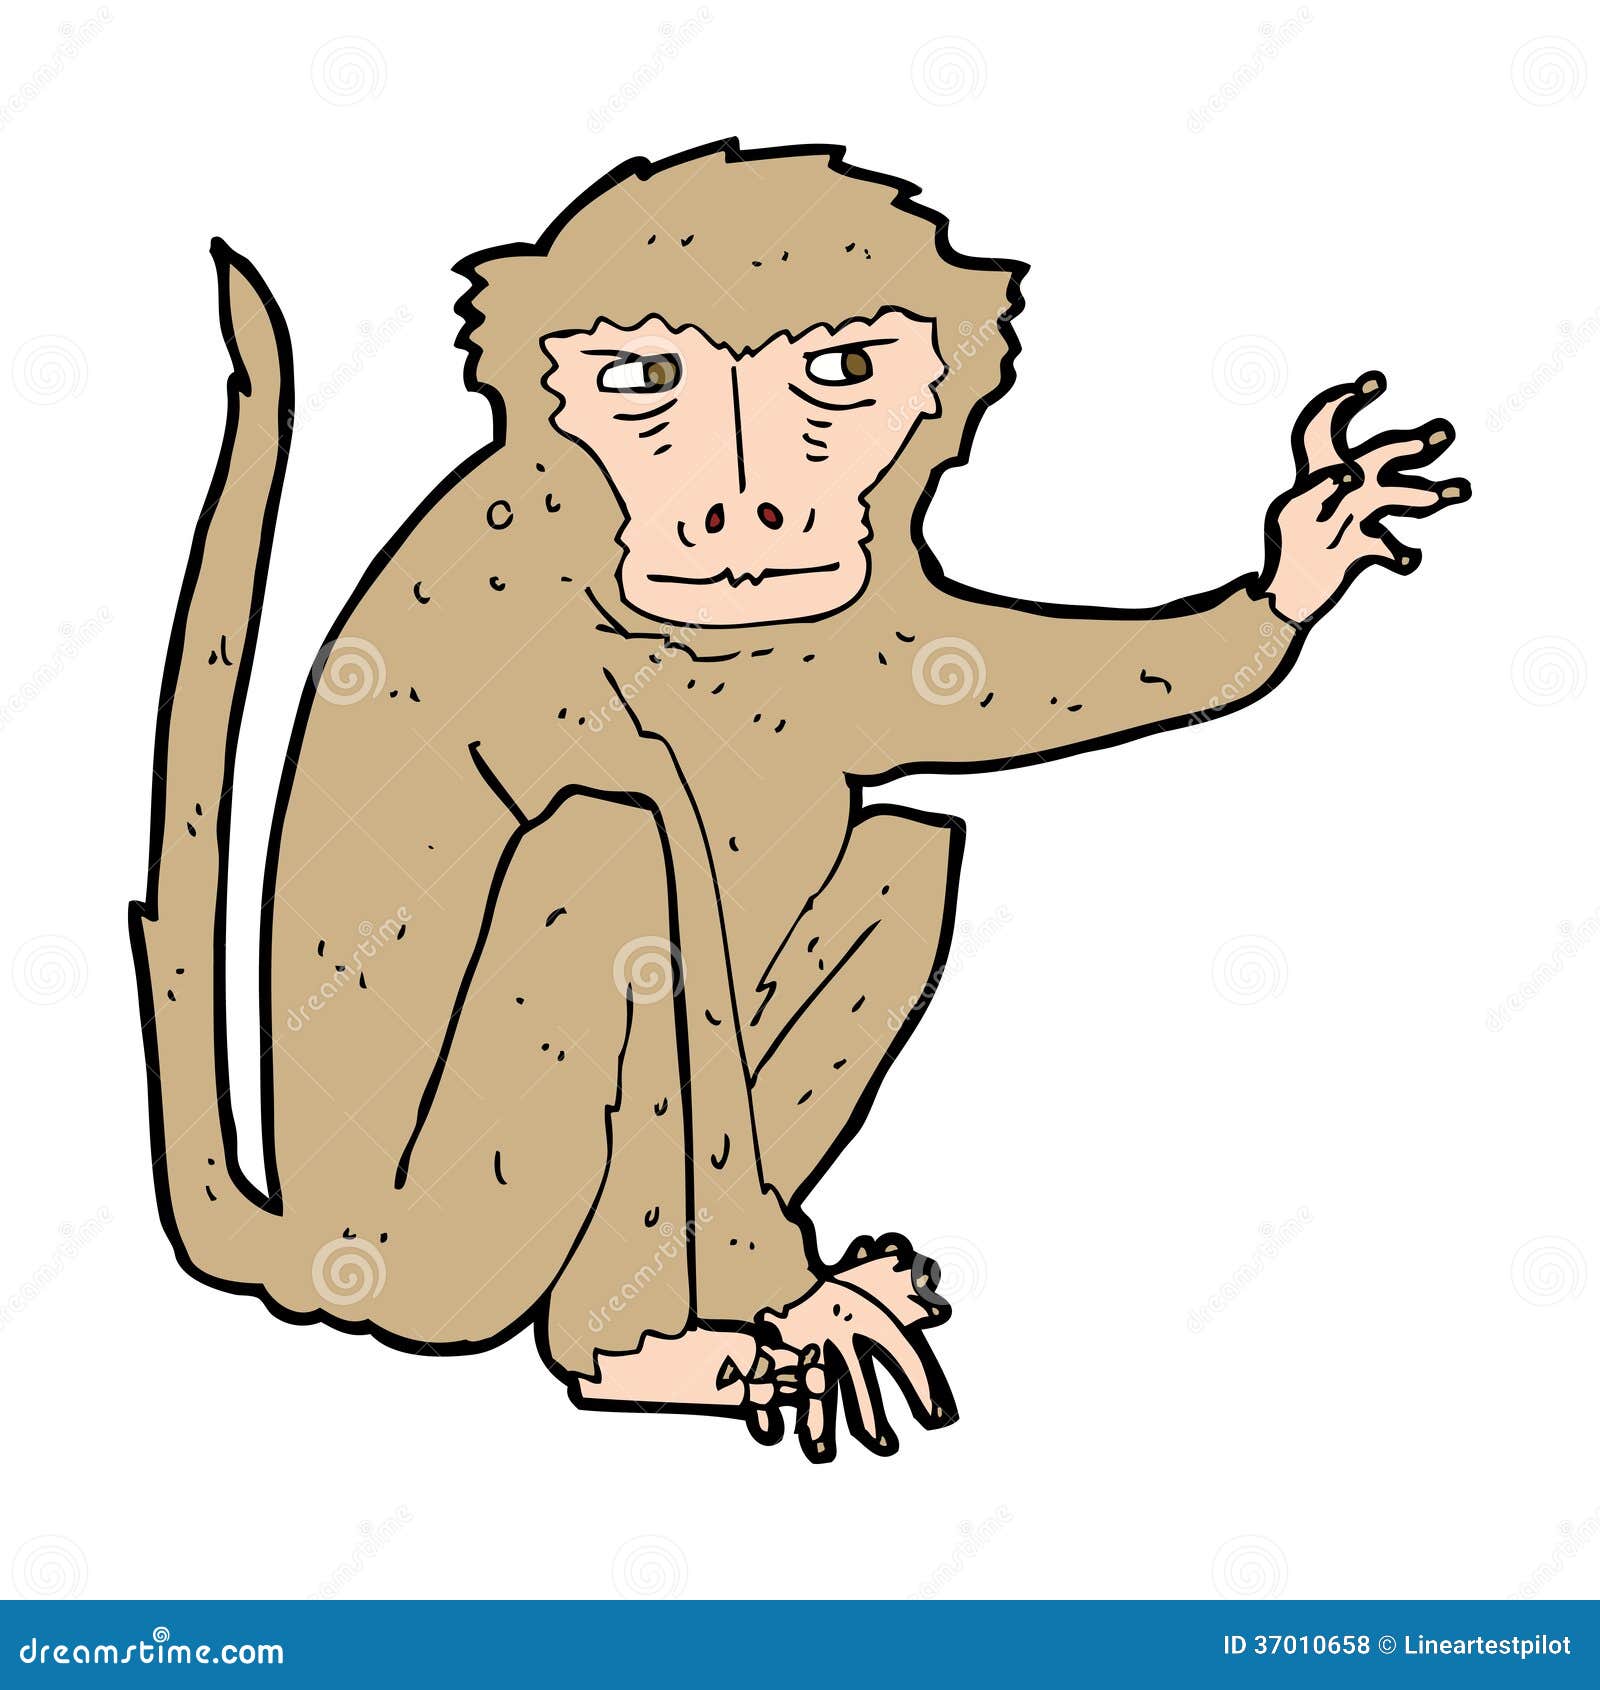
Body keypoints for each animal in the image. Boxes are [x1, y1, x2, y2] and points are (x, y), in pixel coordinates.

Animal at [131, 140, 1469, 1461]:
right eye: (640, 378)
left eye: (839, 372)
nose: (743, 512)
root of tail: (320, 1244)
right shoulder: (537, 654)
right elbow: (674, 901)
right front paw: (791, 1299)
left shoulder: (859, 628)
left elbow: (987, 688)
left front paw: (1300, 557)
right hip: (453, 1229)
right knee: (619, 851)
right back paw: (641, 1353)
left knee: (907, 847)